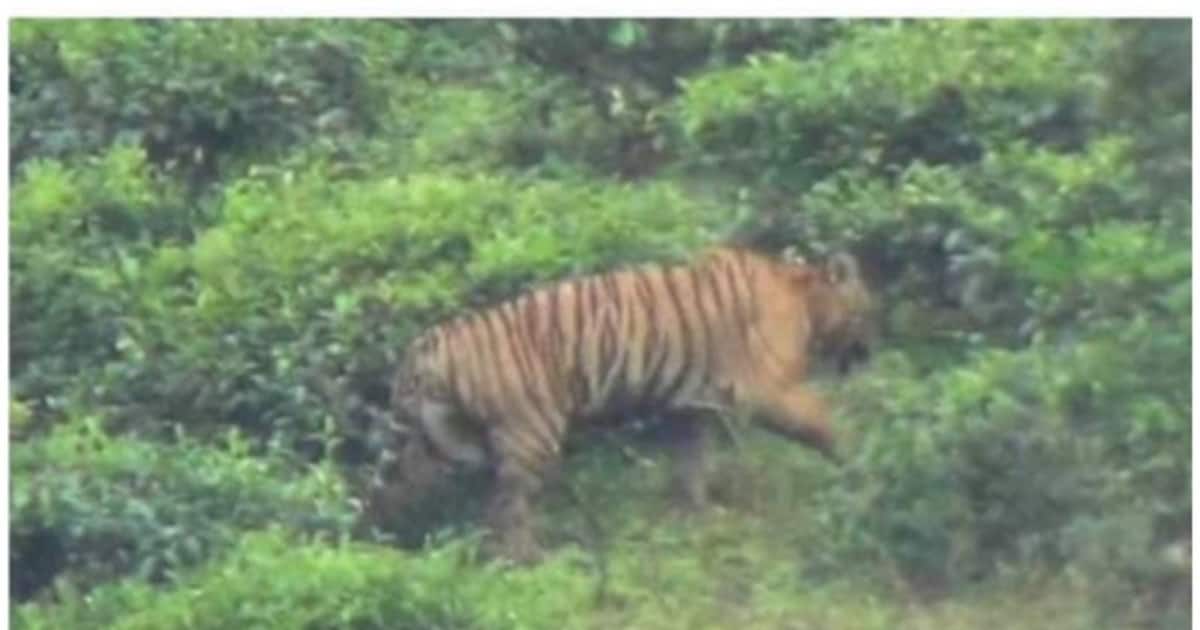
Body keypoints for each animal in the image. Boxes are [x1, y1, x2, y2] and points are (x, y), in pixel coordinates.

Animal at [359, 246, 875, 563]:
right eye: (868, 308)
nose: (870, 352)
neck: (803, 295)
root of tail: (428, 344)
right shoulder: (769, 388)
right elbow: (821, 422)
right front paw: (857, 461)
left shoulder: (692, 406)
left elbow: (692, 460)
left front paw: (697, 512)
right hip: (531, 432)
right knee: (507, 504)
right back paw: (531, 559)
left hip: (442, 439)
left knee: (403, 486)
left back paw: (387, 543)